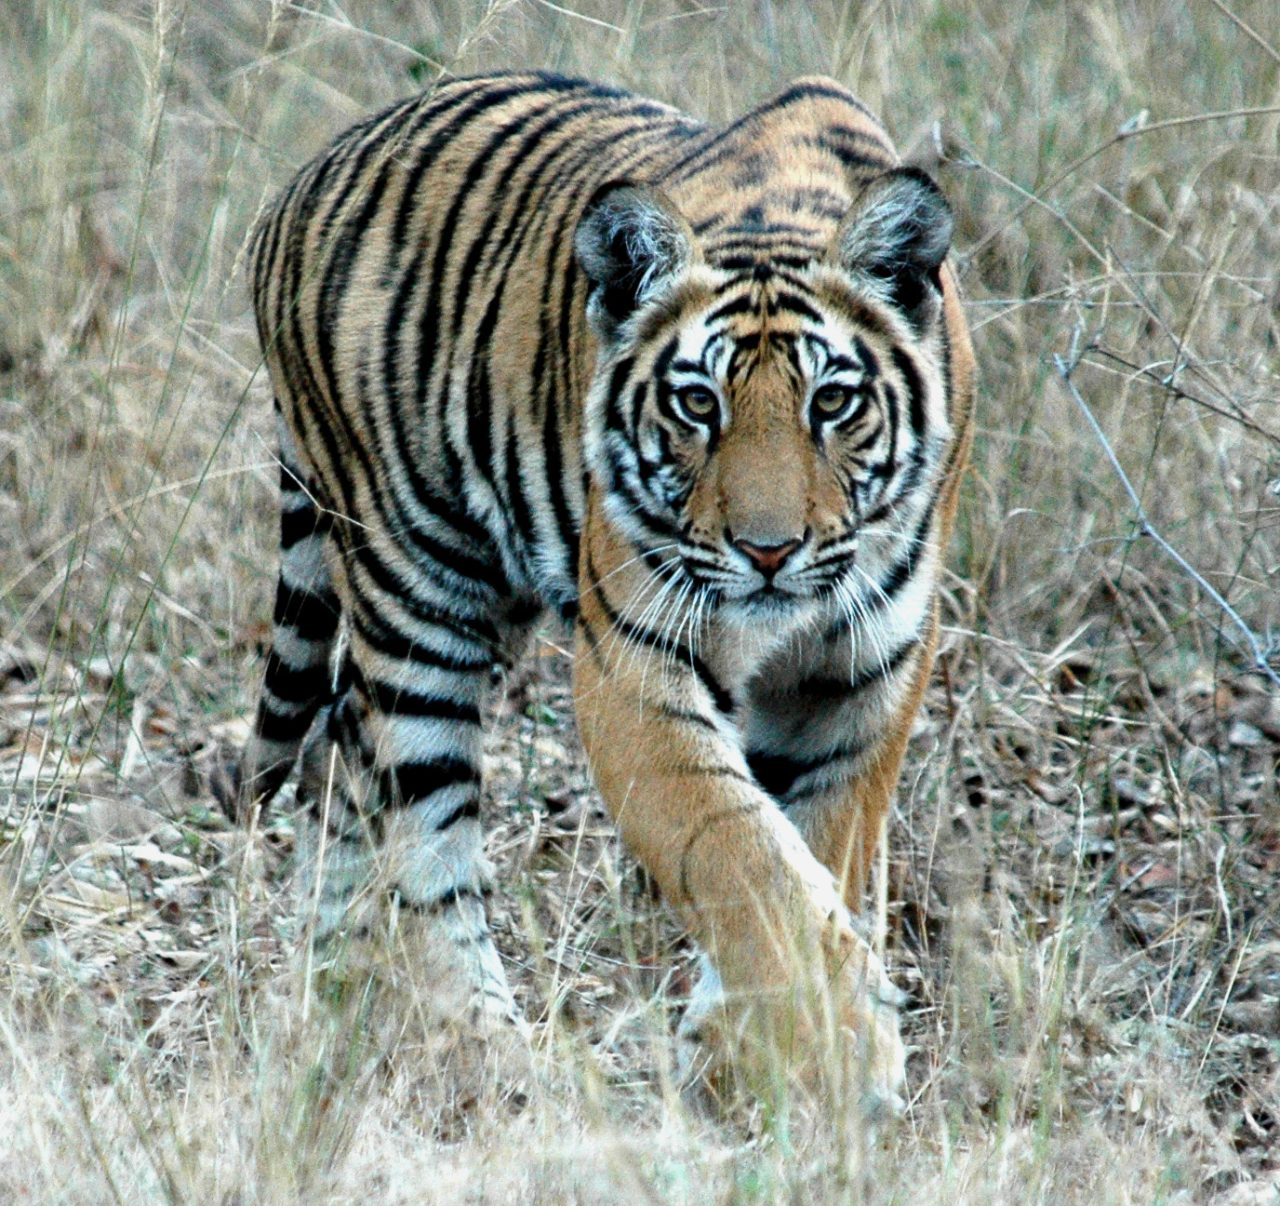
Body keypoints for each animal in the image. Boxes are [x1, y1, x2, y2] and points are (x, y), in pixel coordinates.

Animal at [225, 69, 974, 1114]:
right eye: (698, 404)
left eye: (833, 402)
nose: (770, 551)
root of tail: (302, 177)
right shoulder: (633, 663)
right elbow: (738, 851)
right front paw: (842, 1043)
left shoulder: (867, 673)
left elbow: (817, 845)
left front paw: (750, 1050)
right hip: (416, 589)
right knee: (420, 823)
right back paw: (484, 1052)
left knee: (341, 745)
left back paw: (336, 984)